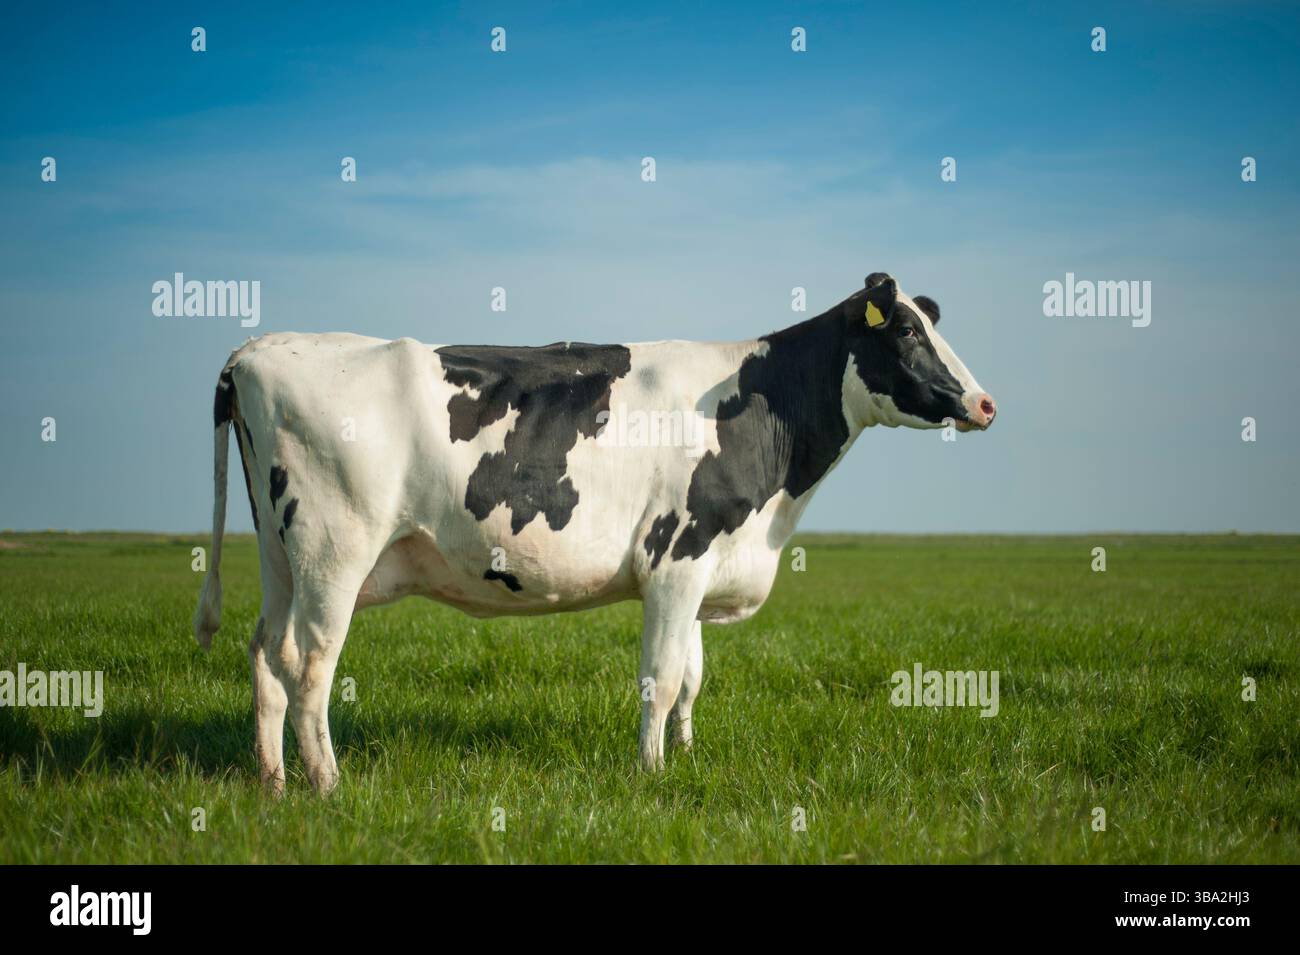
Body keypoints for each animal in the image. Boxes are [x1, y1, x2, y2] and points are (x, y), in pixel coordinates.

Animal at [194, 272, 996, 794]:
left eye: (932, 325)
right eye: (906, 330)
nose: (985, 402)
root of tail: (261, 347)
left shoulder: (700, 565)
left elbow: (692, 678)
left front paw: (686, 758)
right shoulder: (678, 556)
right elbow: (661, 678)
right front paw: (652, 775)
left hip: (280, 555)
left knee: (265, 651)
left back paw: (272, 781)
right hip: (335, 549)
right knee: (309, 661)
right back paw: (329, 784)